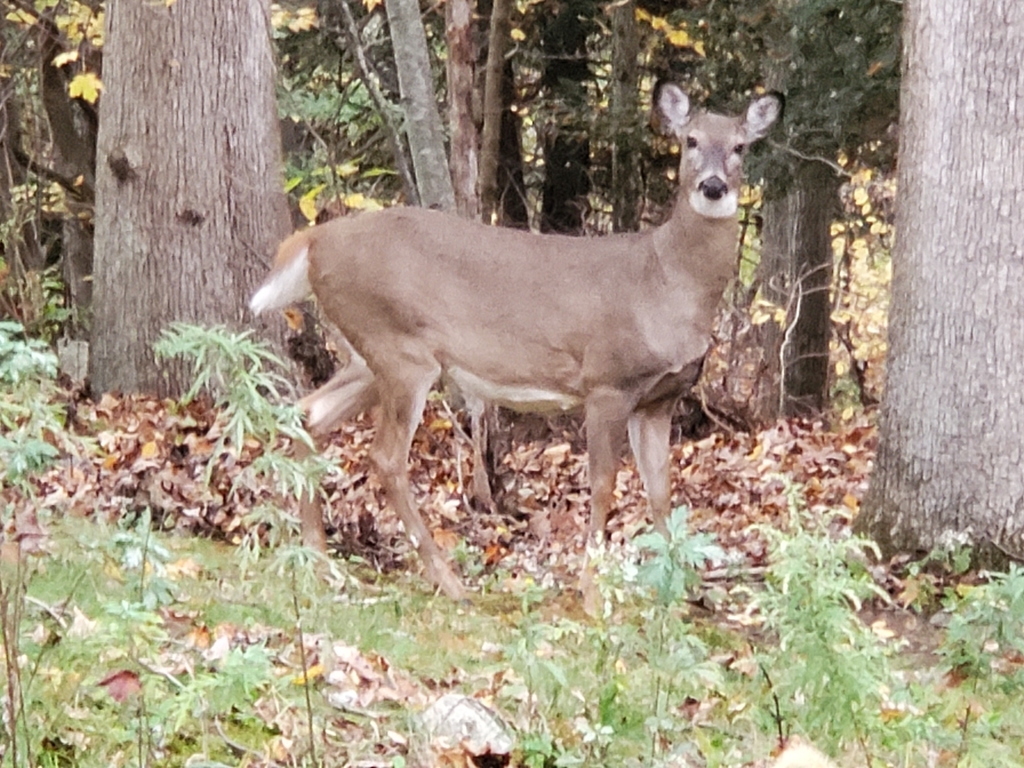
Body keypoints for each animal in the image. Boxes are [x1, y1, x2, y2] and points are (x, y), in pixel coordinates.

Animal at [250, 84, 781, 600]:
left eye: (740, 146)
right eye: (690, 140)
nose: (713, 186)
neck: (666, 281)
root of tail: (313, 243)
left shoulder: (659, 399)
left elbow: (661, 491)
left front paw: (685, 594)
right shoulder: (606, 381)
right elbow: (604, 484)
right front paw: (593, 595)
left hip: (368, 353)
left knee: (308, 414)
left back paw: (319, 565)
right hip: (399, 348)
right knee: (385, 458)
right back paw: (449, 583)